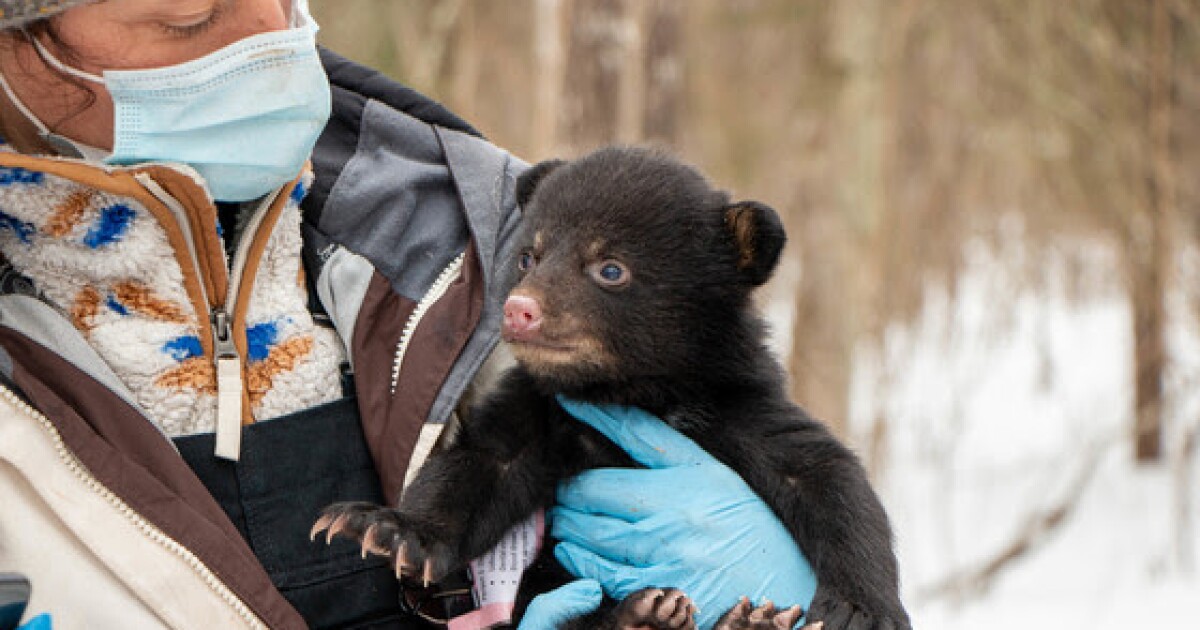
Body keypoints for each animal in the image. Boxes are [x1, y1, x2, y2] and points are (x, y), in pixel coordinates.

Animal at [312, 147, 911, 630]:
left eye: (610, 269)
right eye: (528, 256)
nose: (519, 310)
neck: (627, 393)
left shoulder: (737, 405)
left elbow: (826, 478)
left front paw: (861, 611)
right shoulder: (542, 412)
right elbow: (478, 466)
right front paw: (382, 528)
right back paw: (646, 615)